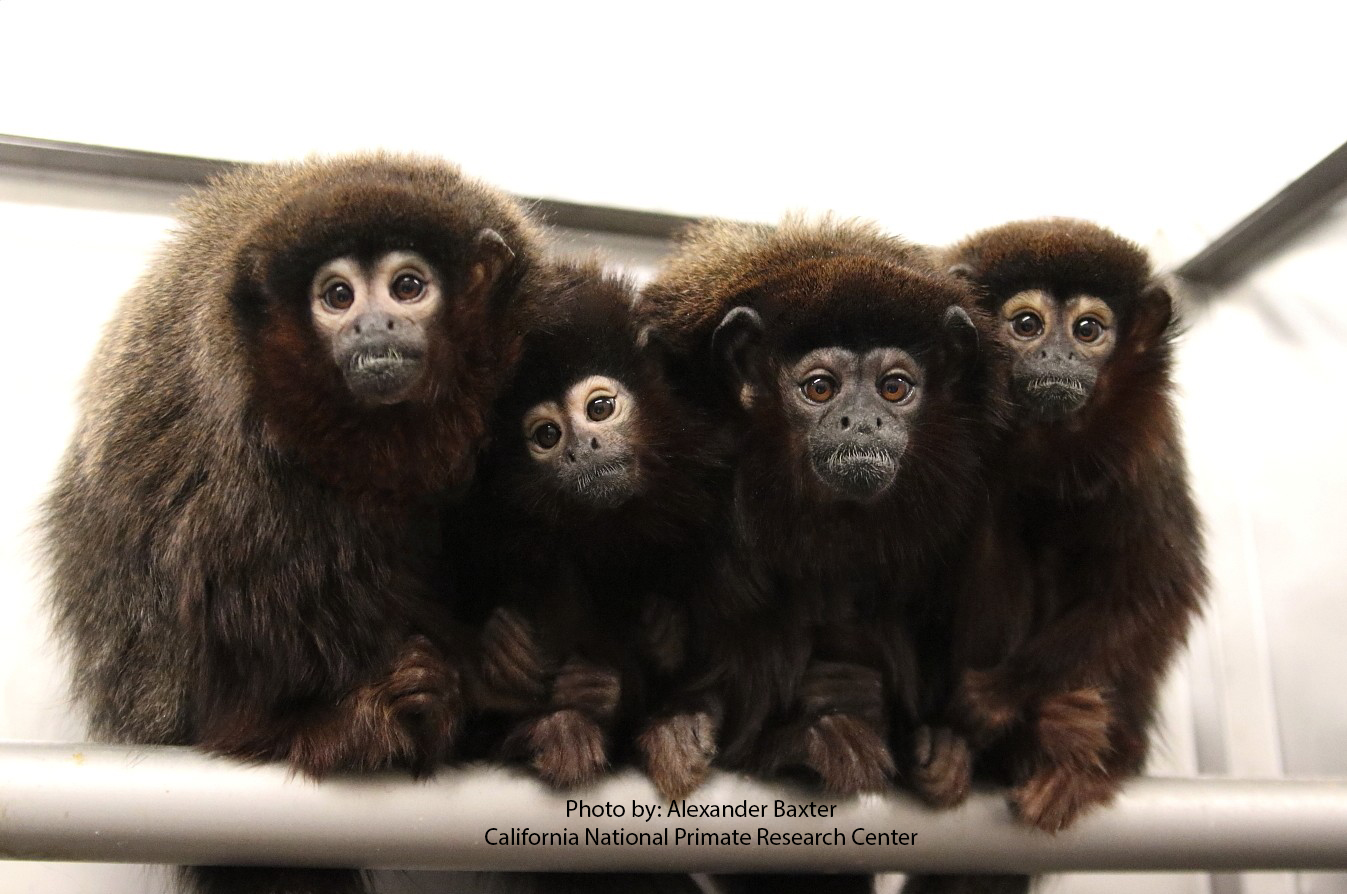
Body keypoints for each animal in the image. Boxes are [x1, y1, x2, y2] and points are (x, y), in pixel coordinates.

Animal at [40, 153, 541, 894]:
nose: (372, 328)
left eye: (408, 286)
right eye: (337, 296)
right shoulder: (239, 420)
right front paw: (378, 718)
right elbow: (236, 575)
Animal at [900, 219, 1207, 894]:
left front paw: (1001, 695)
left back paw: (1079, 752)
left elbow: (1151, 590)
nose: (1056, 357)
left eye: (1088, 329)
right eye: (1027, 325)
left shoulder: (1149, 448)